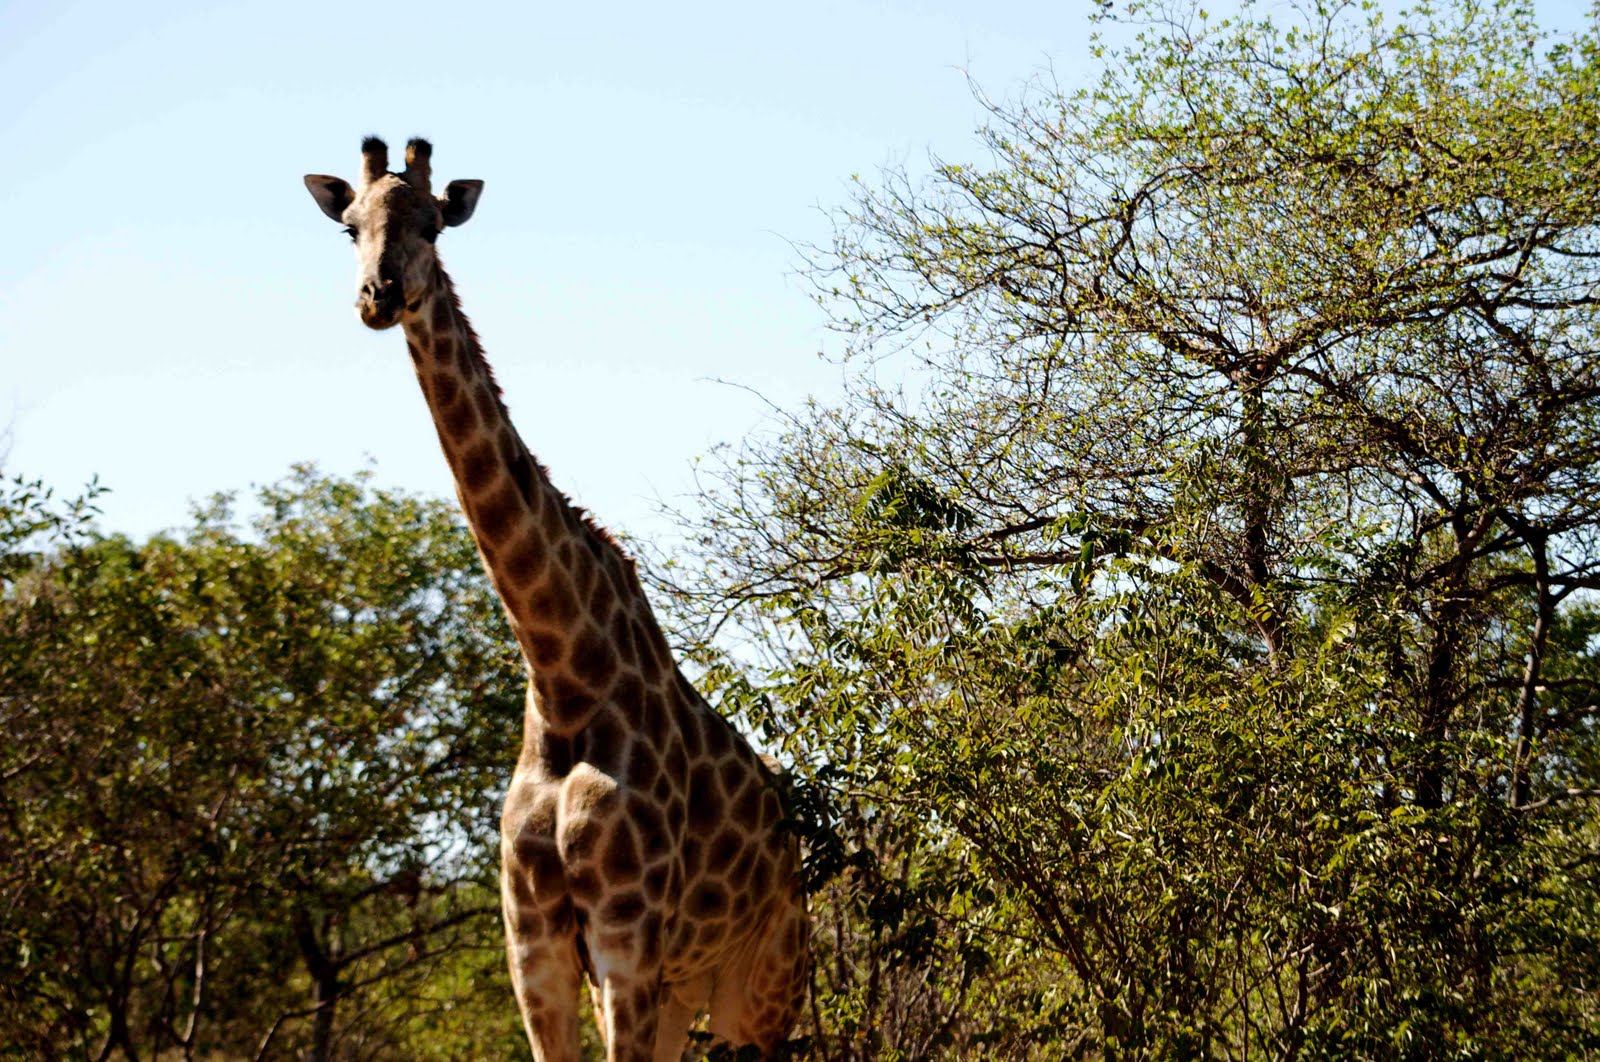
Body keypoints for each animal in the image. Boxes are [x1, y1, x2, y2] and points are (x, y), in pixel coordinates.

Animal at [303, 137, 808, 1062]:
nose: (379, 296)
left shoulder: (624, 939)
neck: (563, 679)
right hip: (685, 989)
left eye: (432, 226)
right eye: (350, 226)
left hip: (762, 982)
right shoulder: (532, 943)